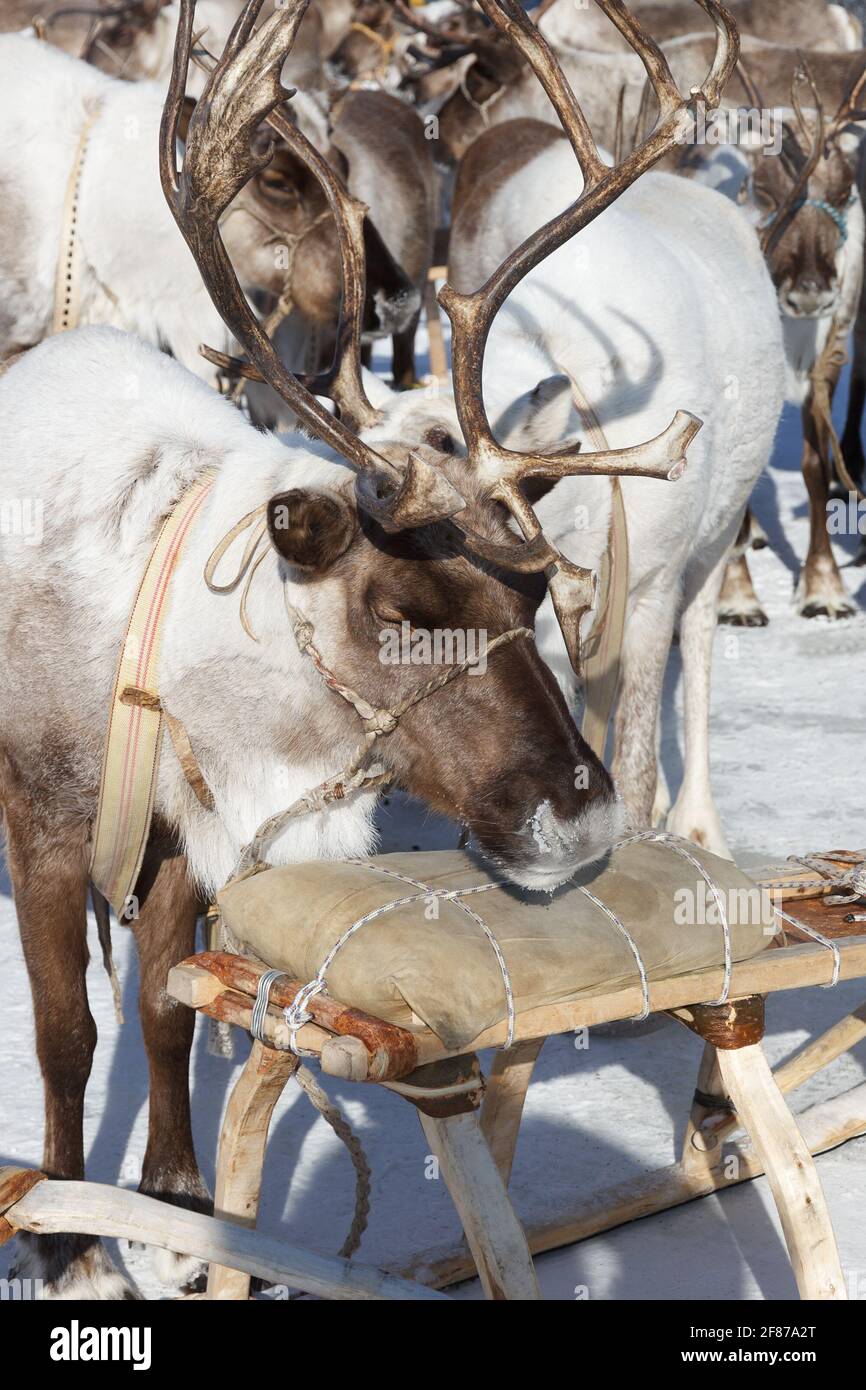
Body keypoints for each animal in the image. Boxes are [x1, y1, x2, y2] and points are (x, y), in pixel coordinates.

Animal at [0, 0, 742, 1298]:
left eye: (531, 589)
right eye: (398, 607)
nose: (583, 809)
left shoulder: (194, 833)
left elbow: (165, 1010)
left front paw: (176, 1204)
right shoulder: (48, 817)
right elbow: (66, 1029)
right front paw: (73, 1245)